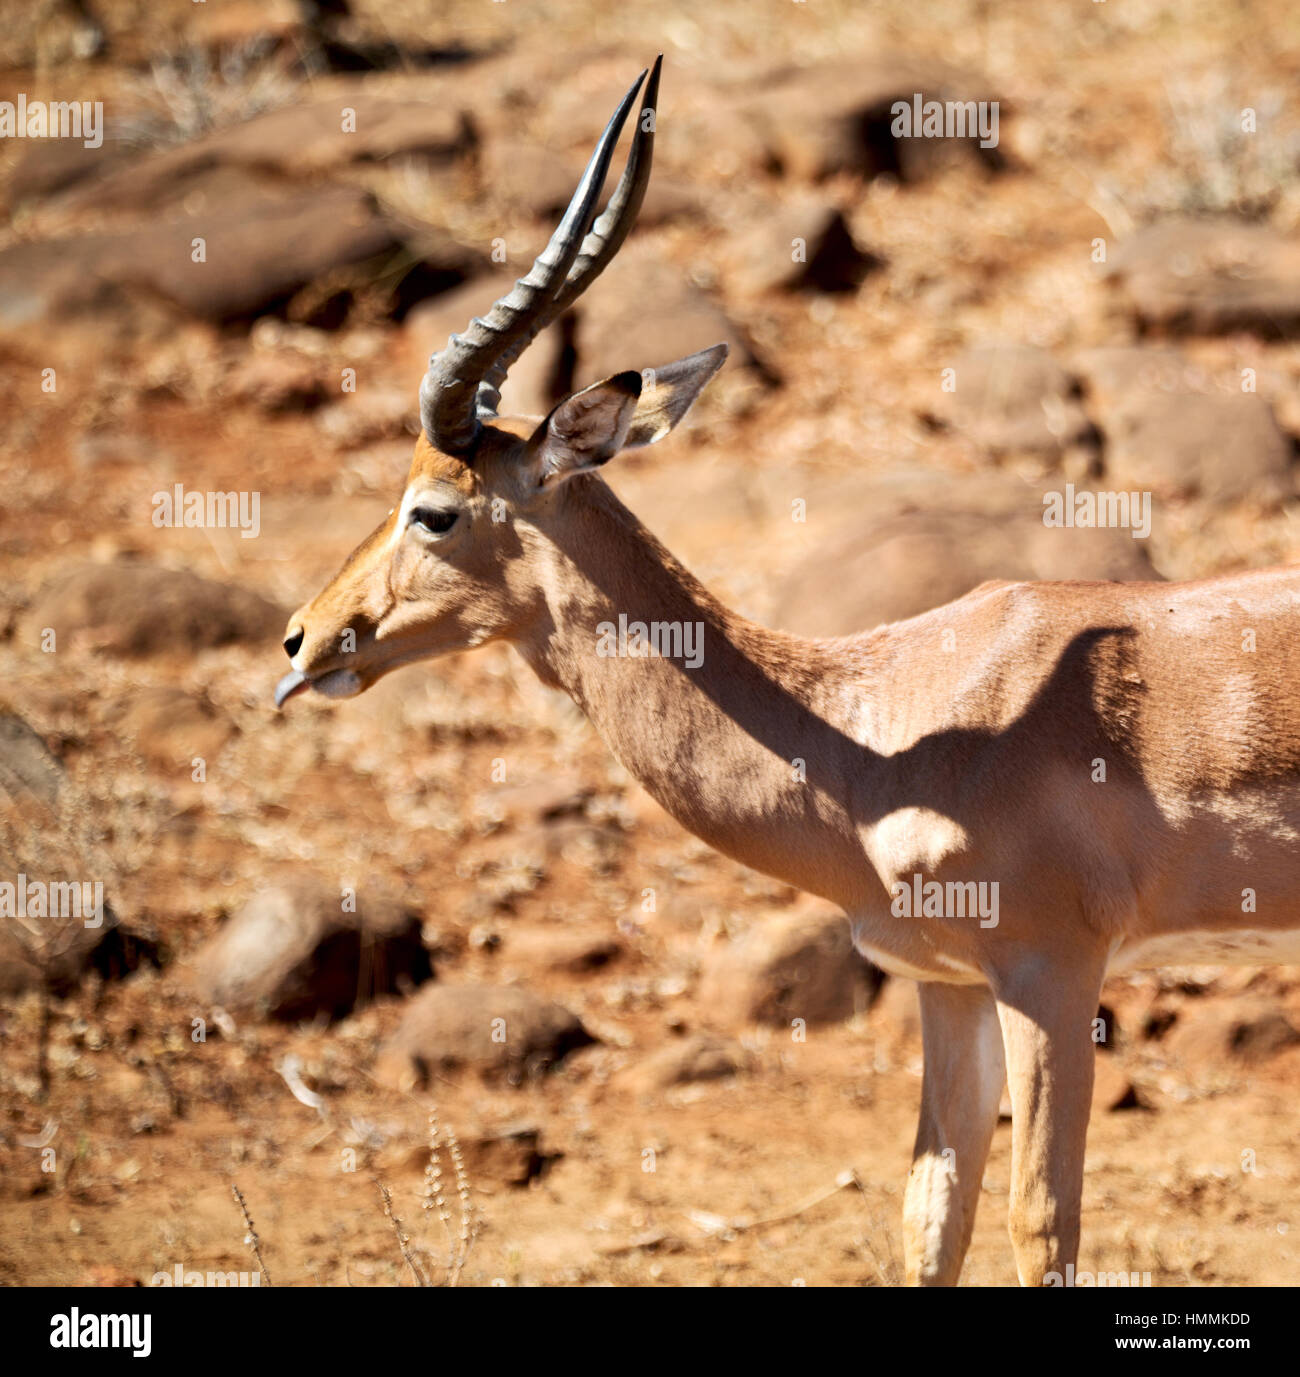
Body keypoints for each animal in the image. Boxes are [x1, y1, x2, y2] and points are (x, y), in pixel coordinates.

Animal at [275, 58, 1300, 1286]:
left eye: (432, 510)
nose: (302, 641)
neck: (881, 734)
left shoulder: (1051, 978)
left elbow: (1041, 1221)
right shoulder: (947, 987)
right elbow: (930, 1216)